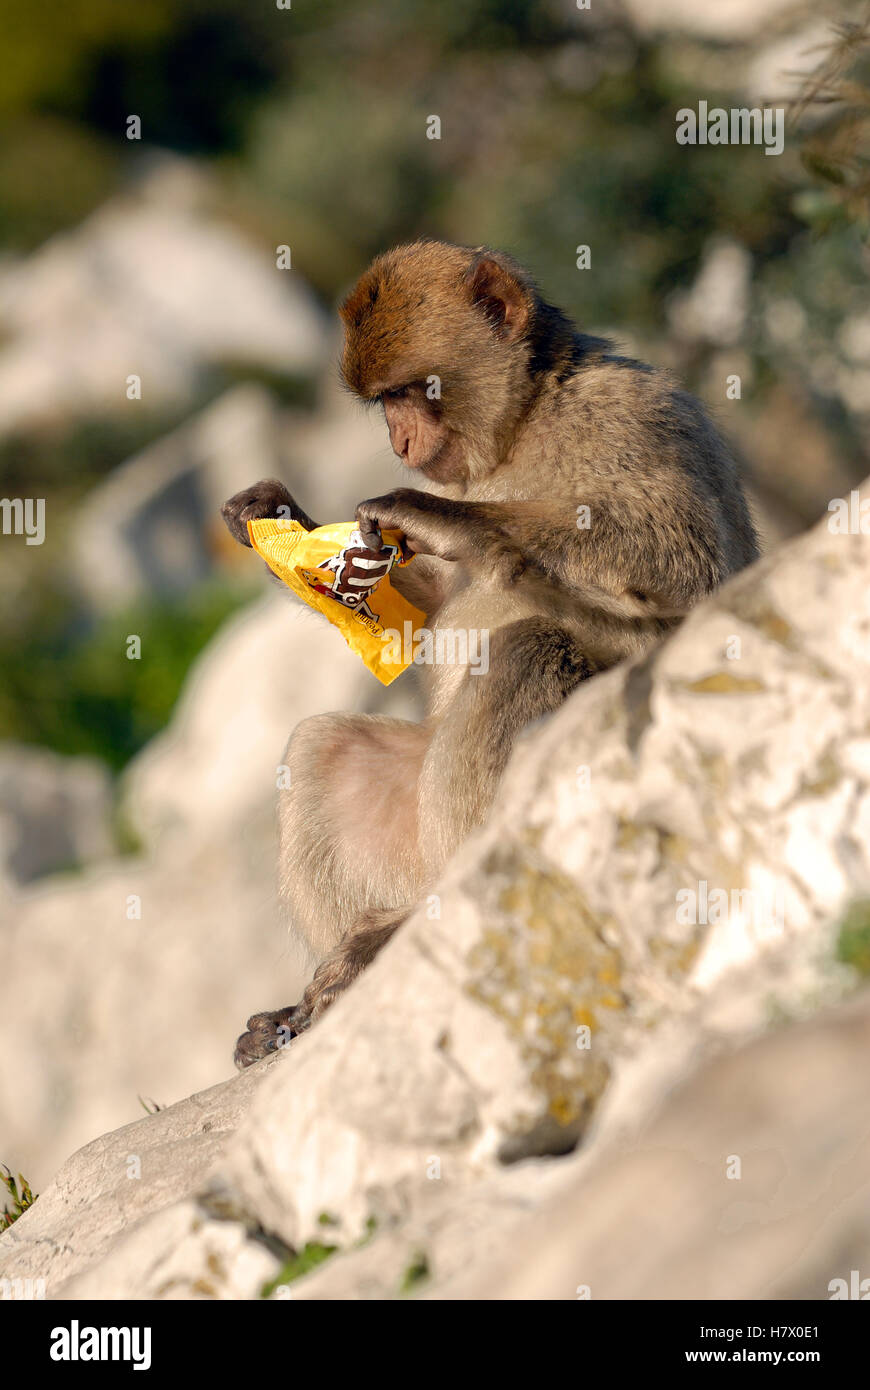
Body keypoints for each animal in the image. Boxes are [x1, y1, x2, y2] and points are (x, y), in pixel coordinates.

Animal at [222, 239, 758, 1068]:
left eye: (416, 391)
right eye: (385, 401)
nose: (401, 443)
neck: (529, 419)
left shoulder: (637, 420)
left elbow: (683, 567)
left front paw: (449, 521)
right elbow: (417, 611)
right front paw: (282, 519)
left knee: (530, 649)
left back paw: (401, 934)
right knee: (324, 745)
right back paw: (316, 1001)